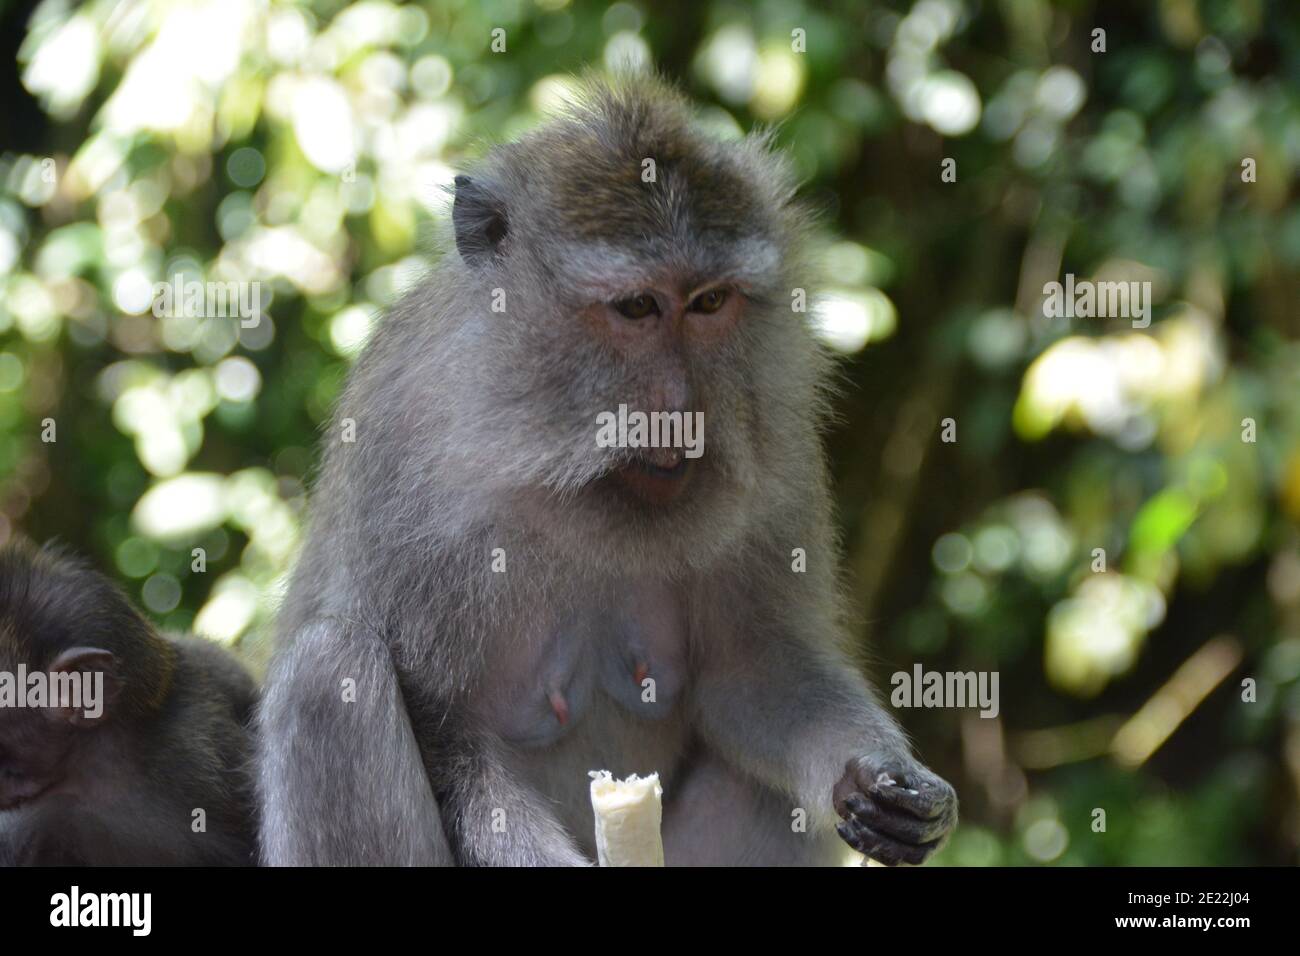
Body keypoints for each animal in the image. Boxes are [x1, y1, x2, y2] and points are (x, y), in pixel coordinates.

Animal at [258, 74, 957, 867]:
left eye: (709, 302)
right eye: (637, 307)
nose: (681, 411)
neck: (563, 466)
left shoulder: (777, 455)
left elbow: (750, 667)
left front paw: (875, 776)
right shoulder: (405, 453)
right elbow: (443, 726)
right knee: (328, 674)